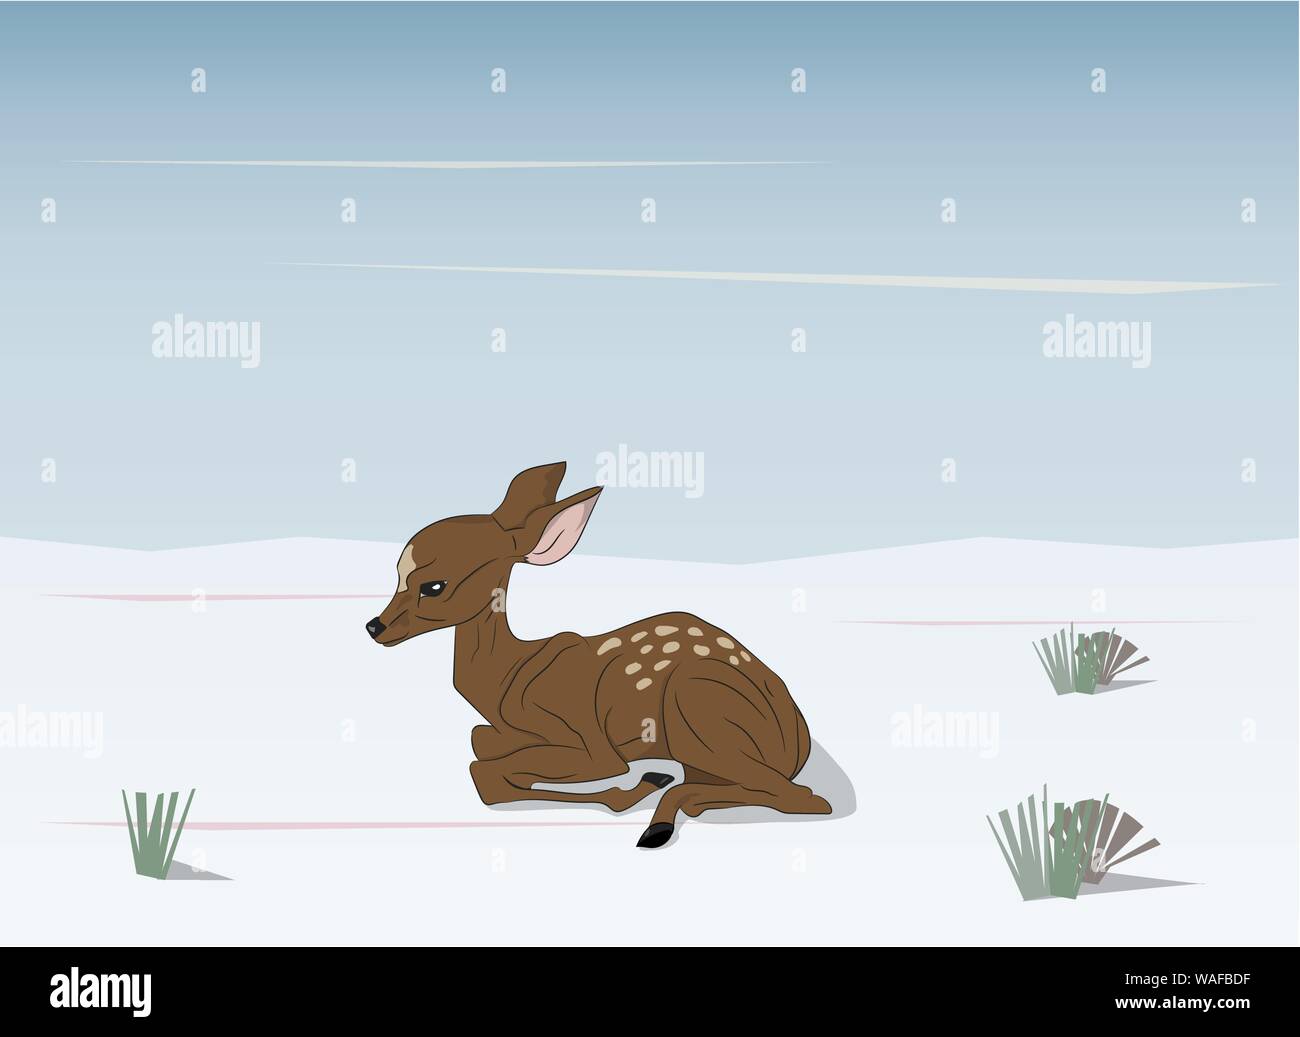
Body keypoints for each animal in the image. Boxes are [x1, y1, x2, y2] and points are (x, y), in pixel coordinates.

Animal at [365, 462, 831, 848]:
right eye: (397, 573)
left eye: (434, 586)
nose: (374, 627)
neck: (506, 679)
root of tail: (798, 744)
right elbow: (480, 743)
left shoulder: (589, 740)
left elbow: (487, 775)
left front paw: (632, 791)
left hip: (691, 702)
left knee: (806, 798)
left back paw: (659, 814)